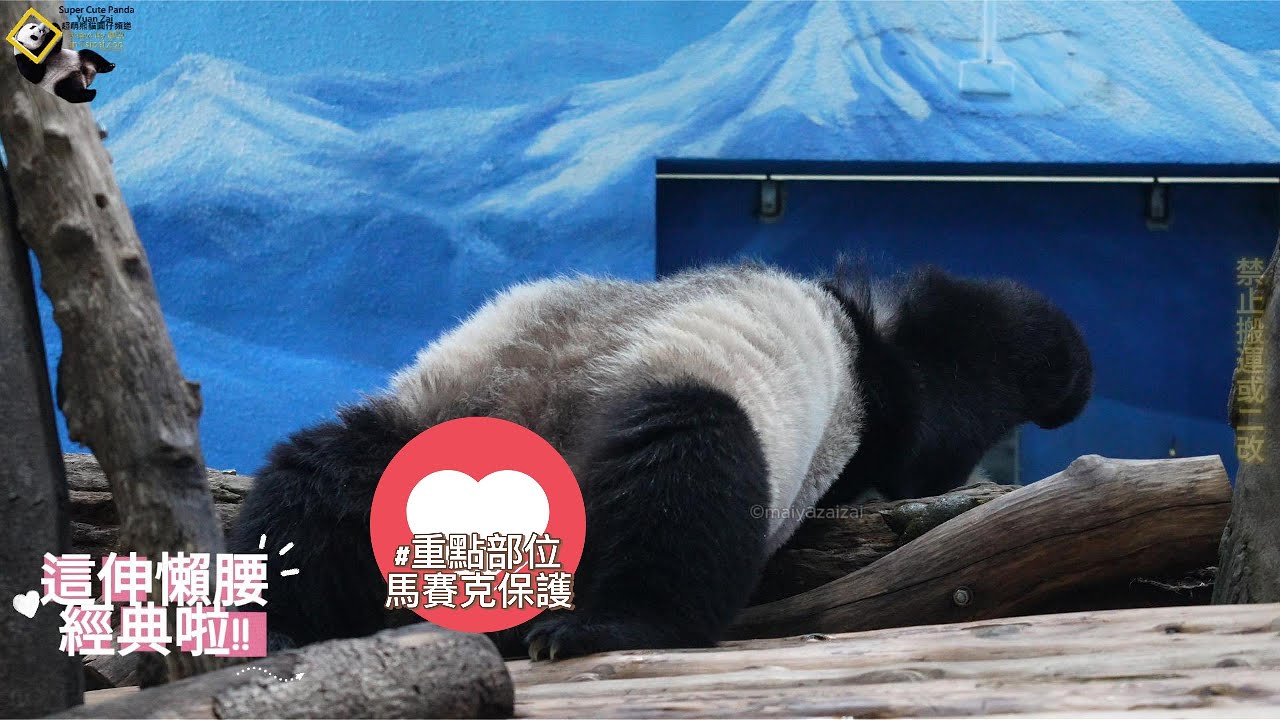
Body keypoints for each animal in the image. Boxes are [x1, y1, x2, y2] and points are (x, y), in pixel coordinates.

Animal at [229, 261, 1092, 660]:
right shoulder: (877, 381)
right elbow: (956, 387)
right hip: (686, 395)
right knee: (683, 485)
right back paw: (603, 627)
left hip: (425, 414)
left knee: (317, 490)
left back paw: (267, 621)